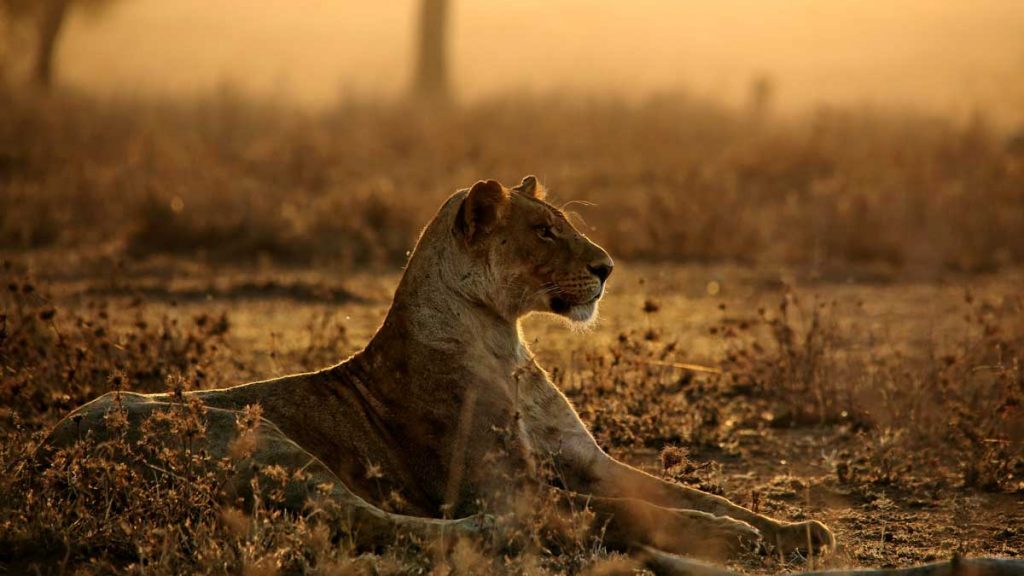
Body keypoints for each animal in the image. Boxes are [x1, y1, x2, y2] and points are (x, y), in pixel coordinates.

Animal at [45, 176, 836, 573]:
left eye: (563, 222)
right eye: (544, 231)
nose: (608, 268)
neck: (506, 341)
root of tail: (43, 452)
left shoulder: (589, 463)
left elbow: (685, 493)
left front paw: (794, 529)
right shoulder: (509, 481)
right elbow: (622, 511)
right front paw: (729, 539)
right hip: (252, 437)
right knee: (384, 525)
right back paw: (502, 532)